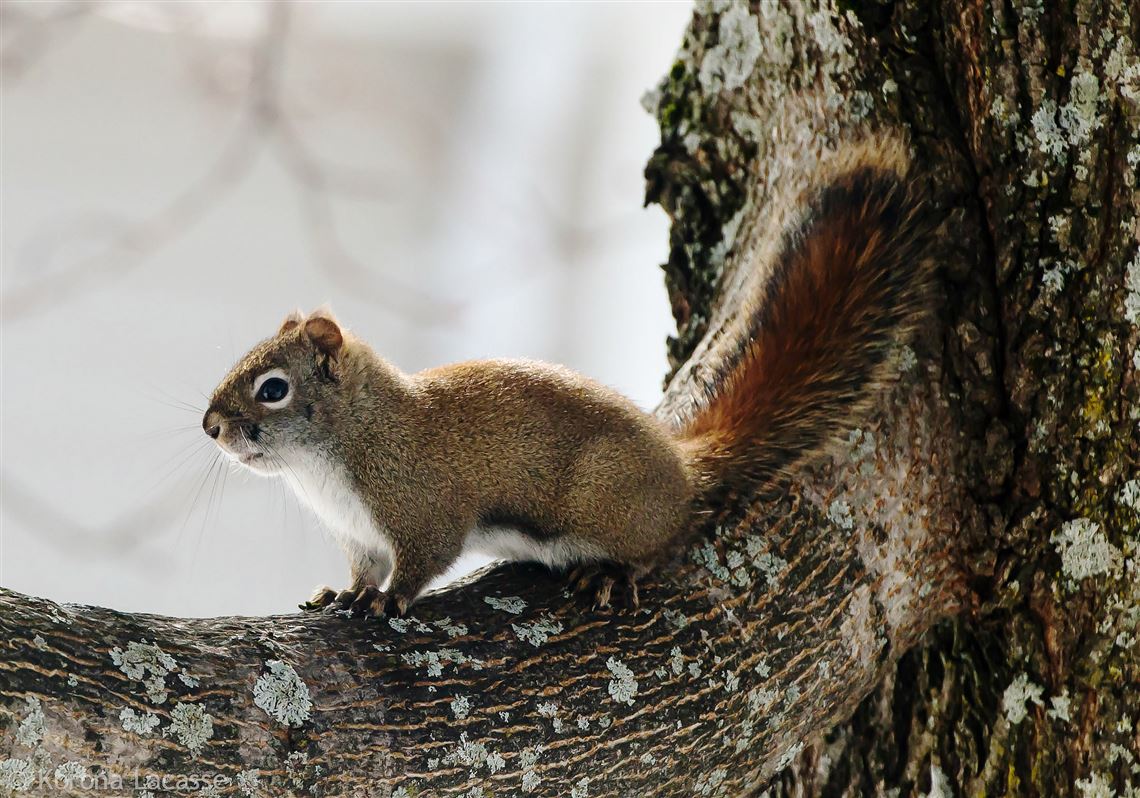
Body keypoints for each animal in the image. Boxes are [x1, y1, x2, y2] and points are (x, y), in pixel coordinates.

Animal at [202, 139, 935, 617]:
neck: (330, 460)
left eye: (273, 389)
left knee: (665, 538)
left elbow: (422, 561)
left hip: (611, 503)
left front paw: (389, 602)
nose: (210, 427)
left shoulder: (423, 506)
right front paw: (347, 592)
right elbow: (363, 568)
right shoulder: (360, 535)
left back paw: (615, 572)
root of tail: (679, 471)